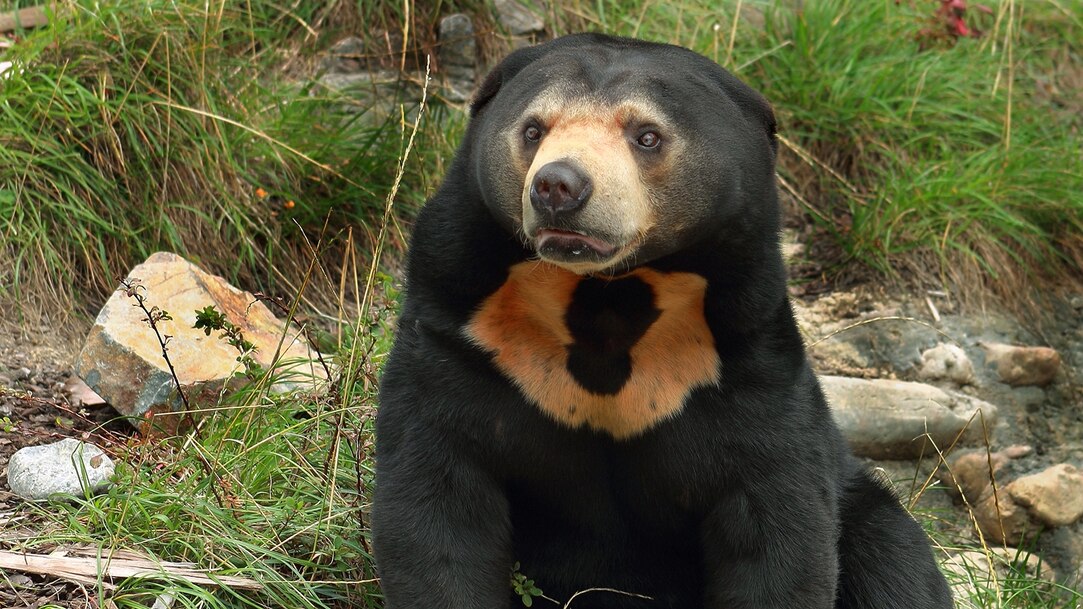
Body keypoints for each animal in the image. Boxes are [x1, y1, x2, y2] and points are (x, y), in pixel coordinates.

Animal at [372, 33, 953, 609]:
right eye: (534, 129)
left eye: (646, 136)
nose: (558, 186)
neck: (605, 296)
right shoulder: (466, 335)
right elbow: (438, 496)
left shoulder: (743, 357)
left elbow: (775, 521)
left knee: (893, 560)